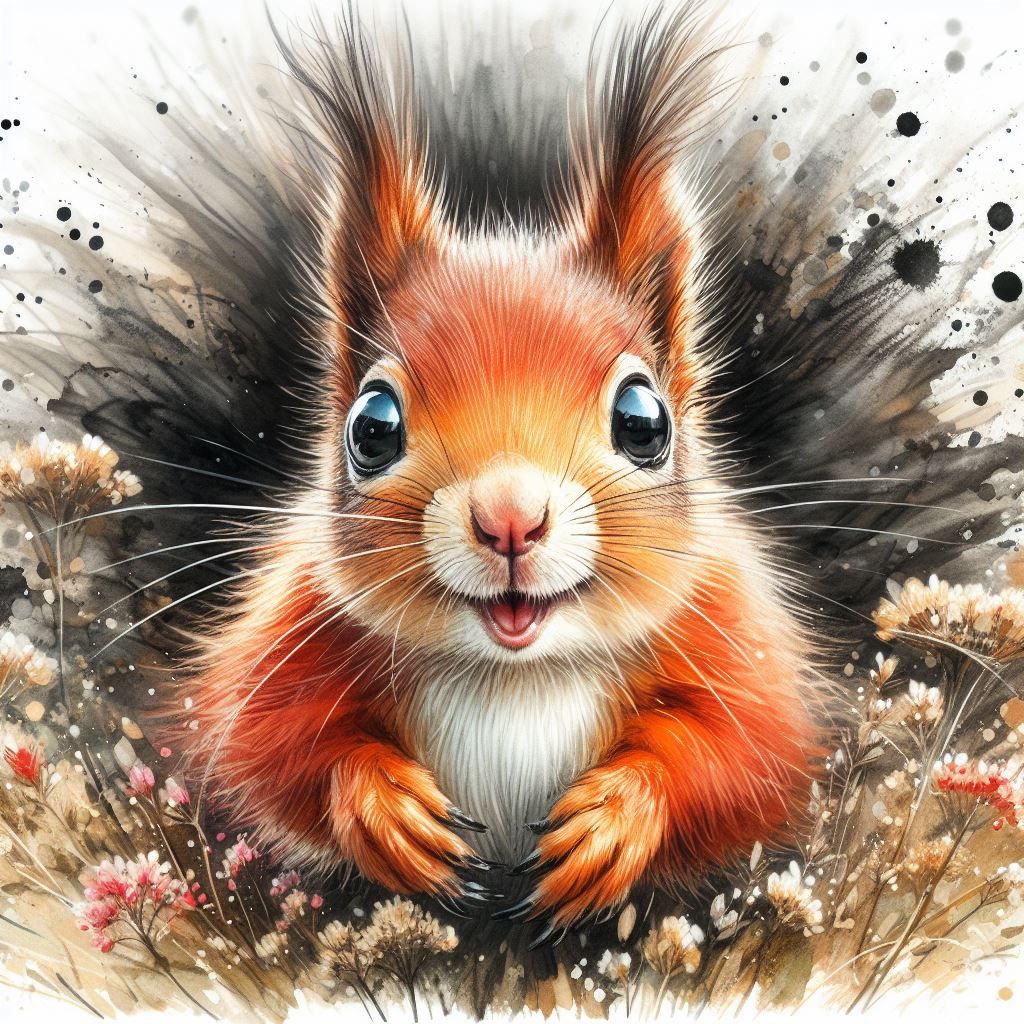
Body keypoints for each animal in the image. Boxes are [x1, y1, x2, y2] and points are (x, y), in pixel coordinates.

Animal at [186, 9, 819, 939]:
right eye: (371, 427)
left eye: (644, 421)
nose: (511, 518)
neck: (514, 674)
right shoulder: (292, 626)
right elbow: (265, 741)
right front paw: (383, 806)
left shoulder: (732, 633)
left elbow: (749, 753)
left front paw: (615, 820)